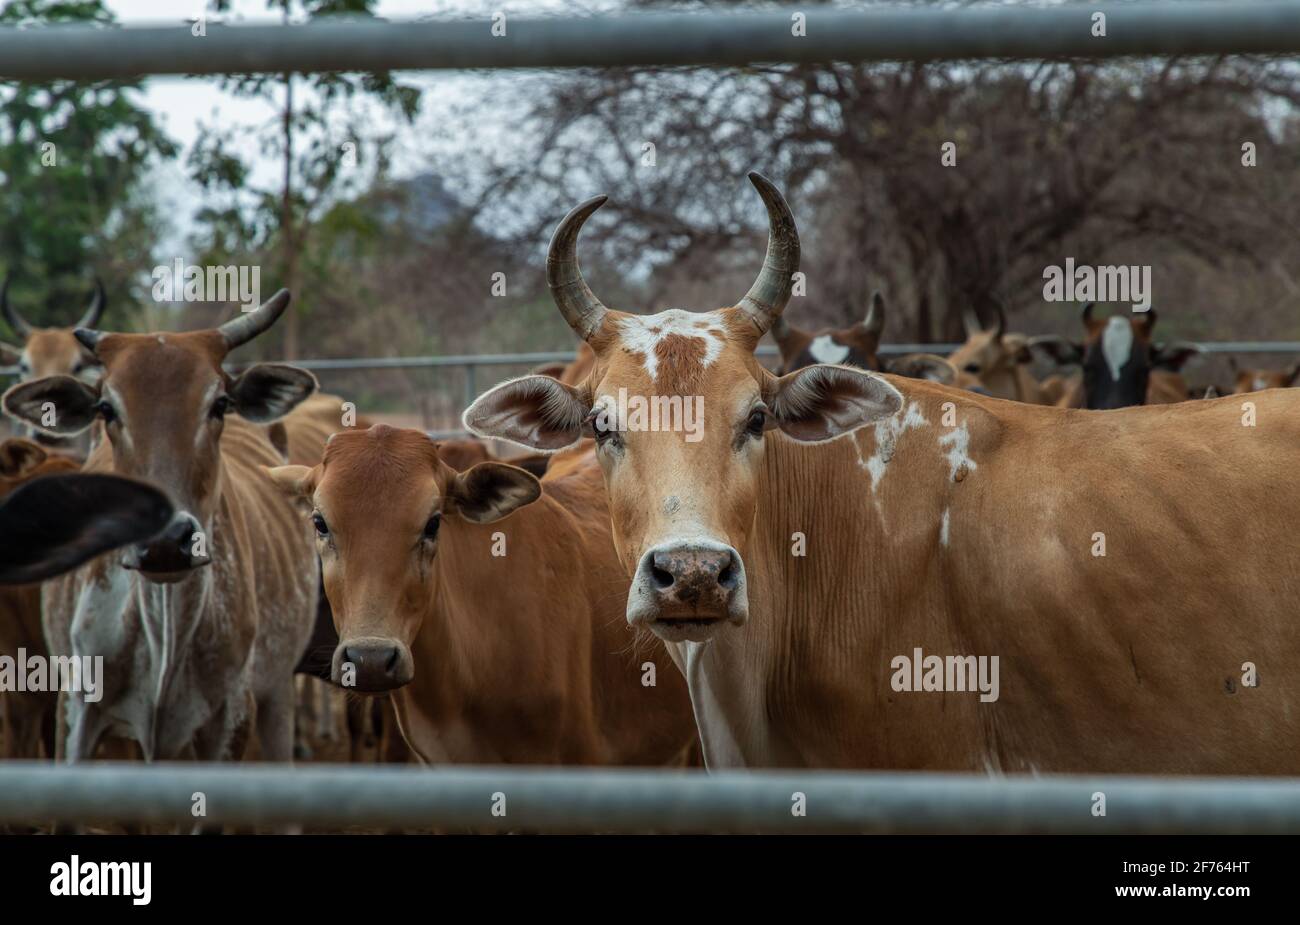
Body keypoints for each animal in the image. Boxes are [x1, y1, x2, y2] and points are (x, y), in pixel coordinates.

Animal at [1, 290, 319, 765]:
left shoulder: (232, 719)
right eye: (107, 408)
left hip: (277, 698)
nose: (167, 542)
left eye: (219, 404)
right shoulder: (74, 709)